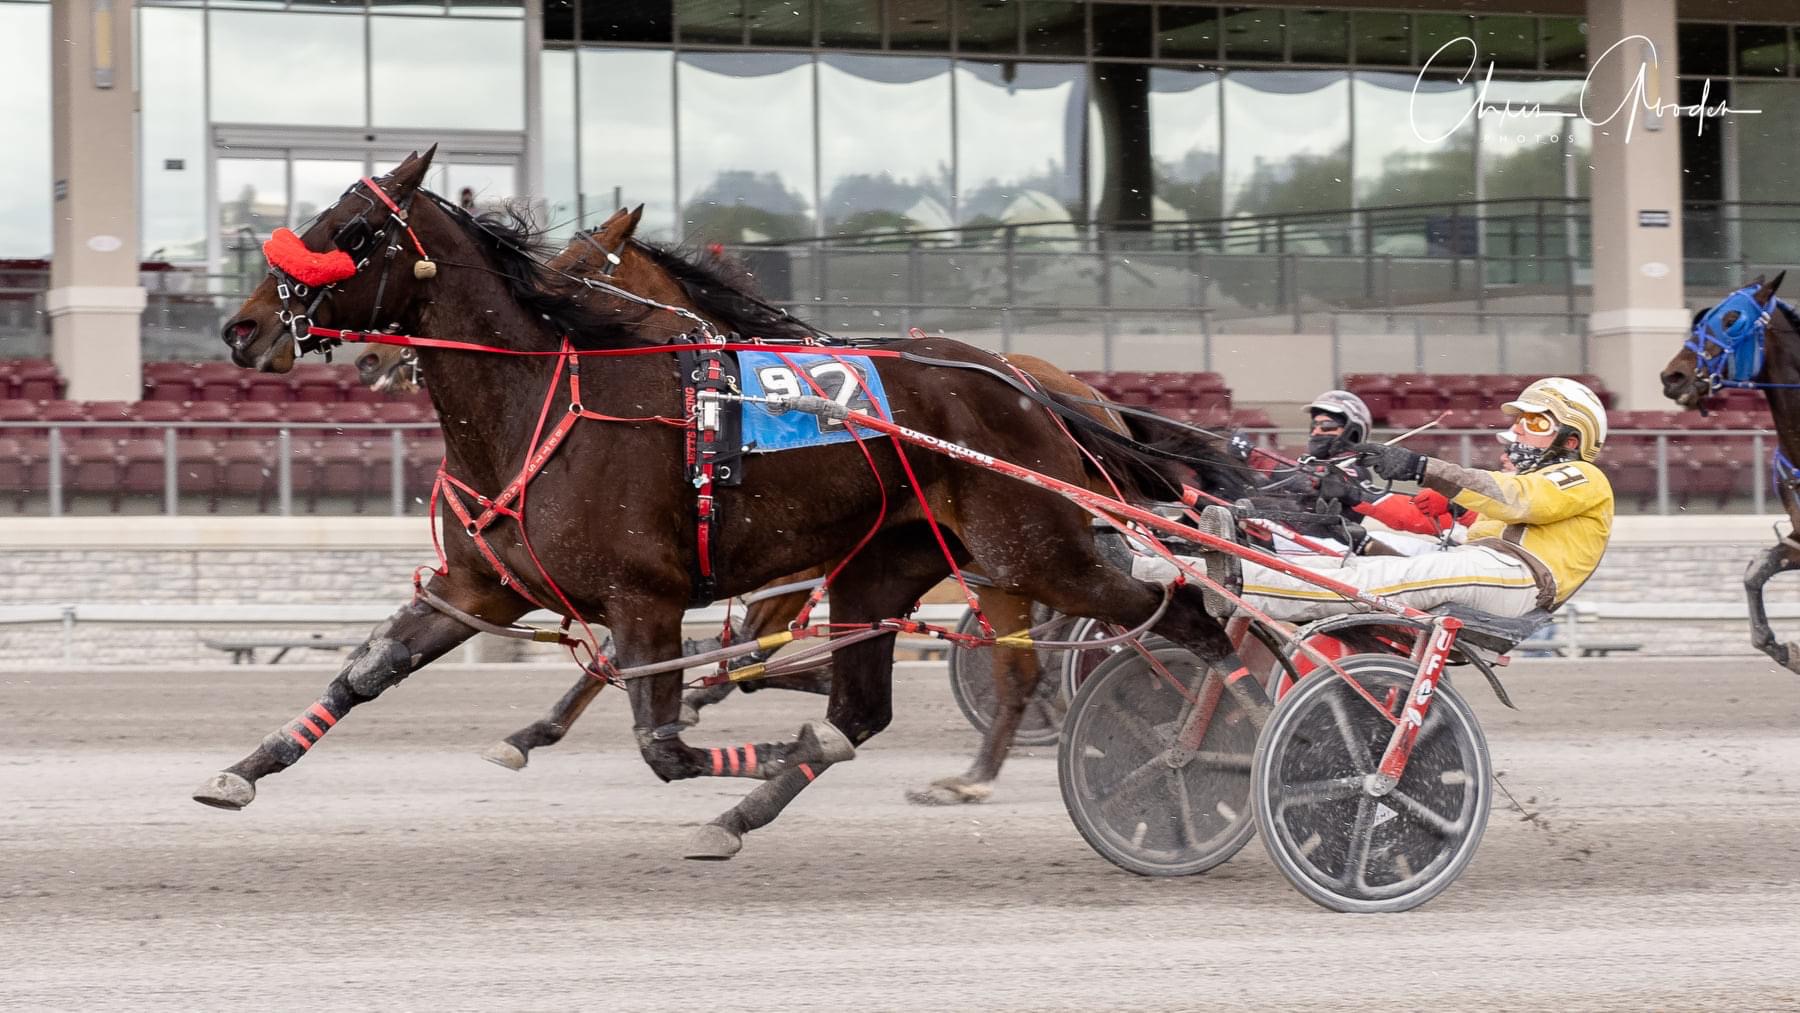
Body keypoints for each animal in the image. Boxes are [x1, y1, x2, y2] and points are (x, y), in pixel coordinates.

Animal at [201, 148, 1262, 859]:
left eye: (353, 233)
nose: (241, 328)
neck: (544, 398)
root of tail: (1036, 387)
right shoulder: (482, 584)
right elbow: (364, 673)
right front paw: (241, 772)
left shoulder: (648, 596)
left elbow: (665, 741)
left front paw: (724, 734)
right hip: (890, 562)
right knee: (869, 708)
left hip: (1037, 549)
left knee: (1183, 619)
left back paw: (1216, 749)